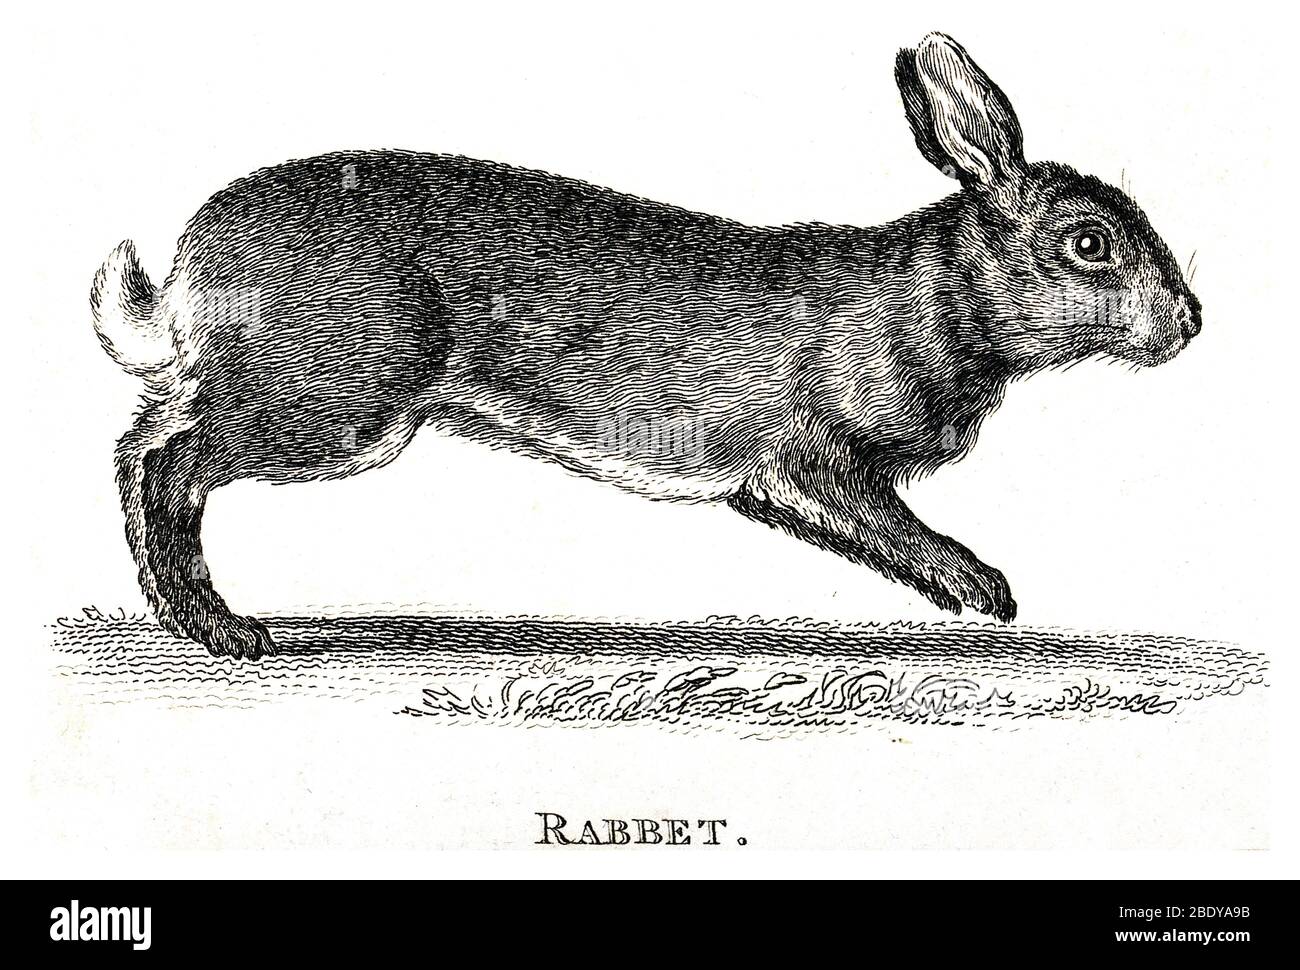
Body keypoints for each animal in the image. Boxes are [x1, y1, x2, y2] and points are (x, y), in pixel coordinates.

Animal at [91, 32, 1200, 659]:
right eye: (1089, 244)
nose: (1190, 320)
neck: (934, 293)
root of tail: (193, 257)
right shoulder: (809, 462)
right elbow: (891, 522)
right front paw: (983, 590)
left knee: (144, 436)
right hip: (338, 401)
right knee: (168, 460)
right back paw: (226, 633)